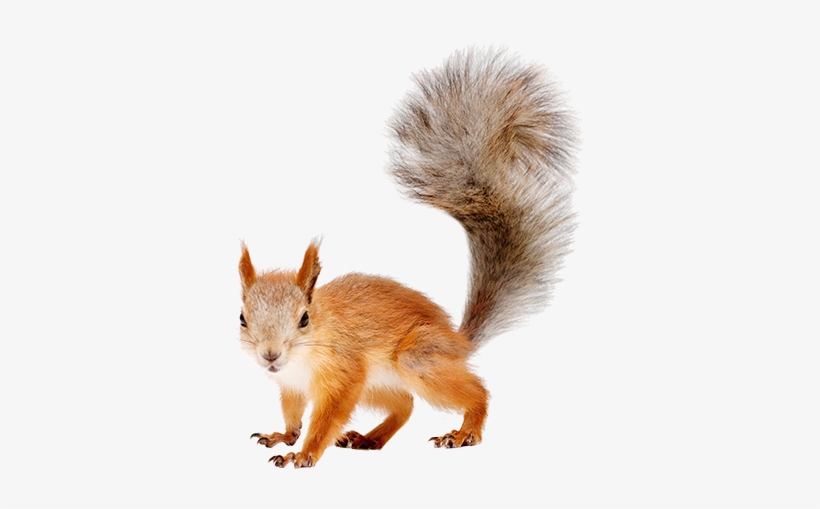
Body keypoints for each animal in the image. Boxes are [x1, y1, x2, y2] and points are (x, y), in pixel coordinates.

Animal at [238, 48, 577, 468]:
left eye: (304, 318)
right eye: (242, 318)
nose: (269, 355)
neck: (304, 355)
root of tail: (458, 342)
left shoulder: (345, 372)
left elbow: (327, 416)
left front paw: (304, 454)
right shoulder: (292, 385)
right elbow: (292, 414)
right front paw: (282, 436)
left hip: (419, 359)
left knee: (475, 393)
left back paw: (463, 431)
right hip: (382, 384)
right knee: (405, 404)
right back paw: (367, 438)